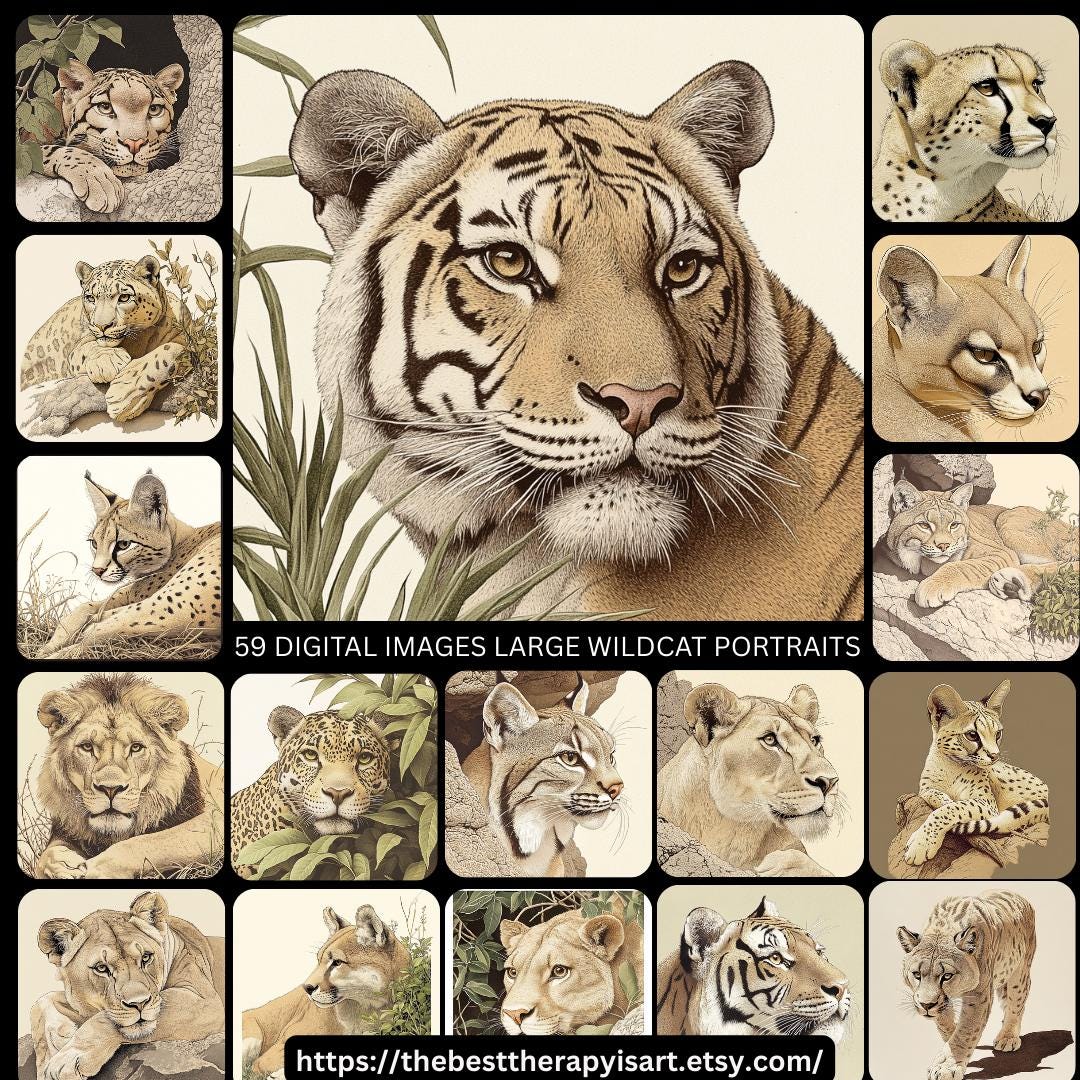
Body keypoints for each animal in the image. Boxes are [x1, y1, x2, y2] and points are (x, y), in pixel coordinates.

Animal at [31, 672, 223, 880]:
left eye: (136, 748)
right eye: (87, 747)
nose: (110, 789)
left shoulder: (216, 817)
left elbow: (148, 841)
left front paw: (96, 870)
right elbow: (46, 855)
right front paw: (61, 864)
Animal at [31, 891, 224, 1080]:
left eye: (145, 957)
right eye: (101, 968)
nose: (139, 1003)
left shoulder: (204, 1000)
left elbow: (102, 1019)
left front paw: (67, 1060)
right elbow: (41, 1002)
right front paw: (52, 1048)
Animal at [880, 479, 1077, 610]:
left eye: (954, 525)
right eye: (924, 525)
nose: (943, 546)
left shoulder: (1003, 553)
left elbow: (960, 566)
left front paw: (933, 585)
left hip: (1008, 520)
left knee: (1066, 563)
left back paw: (1010, 578)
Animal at [898, 890, 1036, 1079]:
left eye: (947, 976)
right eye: (917, 974)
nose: (926, 1005)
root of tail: (1019, 896)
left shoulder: (979, 993)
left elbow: (966, 1030)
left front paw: (946, 1067)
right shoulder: (942, 1001)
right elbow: (945, 1023)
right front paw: (949, 1041)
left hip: (1020, 971)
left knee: (1017, 1003)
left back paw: (1008, 1037)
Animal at [903, 680, 1049, 867]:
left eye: (998, 734)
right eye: (972, 735)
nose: (995, 755)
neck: (951, 765)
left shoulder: (988, 805)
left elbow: (953, 808)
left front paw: (922, 843)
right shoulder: (925, 788)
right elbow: (934, 795)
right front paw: (943, 800)